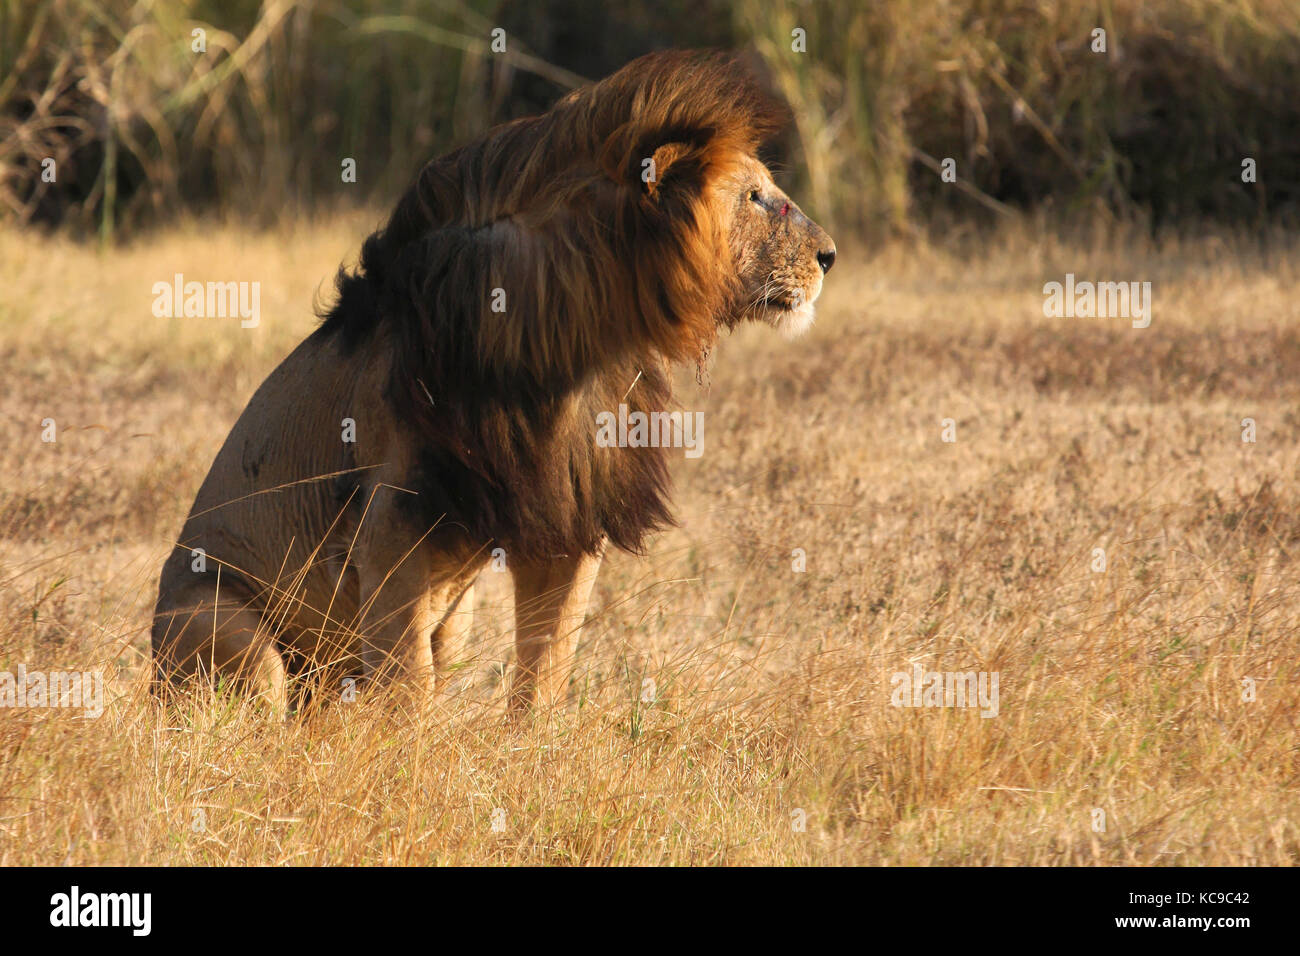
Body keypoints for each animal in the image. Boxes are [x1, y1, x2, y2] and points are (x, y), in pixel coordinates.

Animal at [151, 50, 836, 714]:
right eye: (755, 196)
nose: (830, 255)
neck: (580, 340)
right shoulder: (391, 524)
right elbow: (408, 685)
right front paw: (407, 751)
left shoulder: (569, 514)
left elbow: (545, 670)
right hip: (219, 622)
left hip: (454, 618)